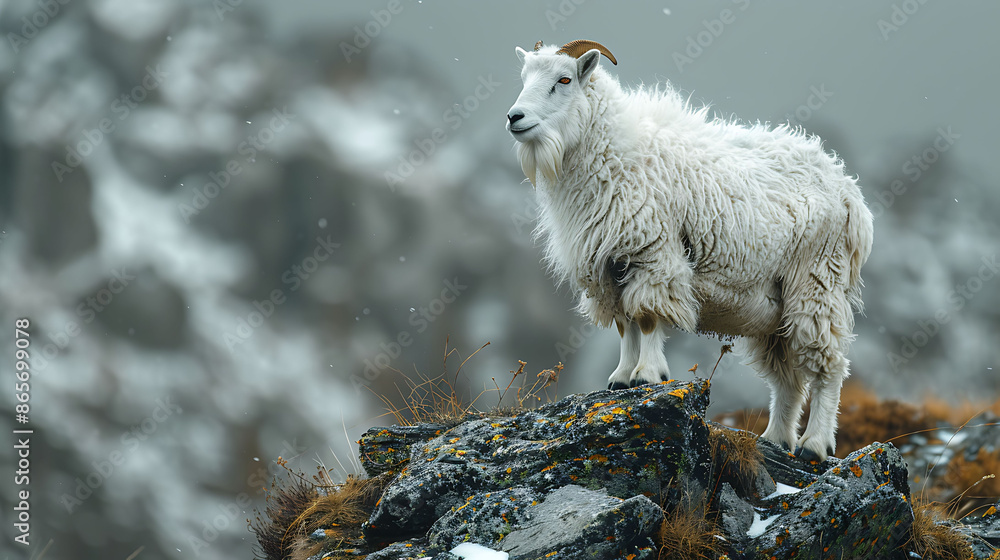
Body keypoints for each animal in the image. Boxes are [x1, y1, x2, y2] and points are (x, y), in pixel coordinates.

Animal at [505, 40, 874, 461]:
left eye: (564, 80)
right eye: (524, 77)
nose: (514, 117)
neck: (612, 149)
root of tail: (848, 190)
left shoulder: (654, 253)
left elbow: (647, 318)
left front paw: (648, 374)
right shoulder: (611, 267)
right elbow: (625, 327)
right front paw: (620, 379)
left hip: (818, 281)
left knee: (829, 365)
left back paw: (814, 445)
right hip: (776, 305)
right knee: (788, 378)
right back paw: (775, 438)